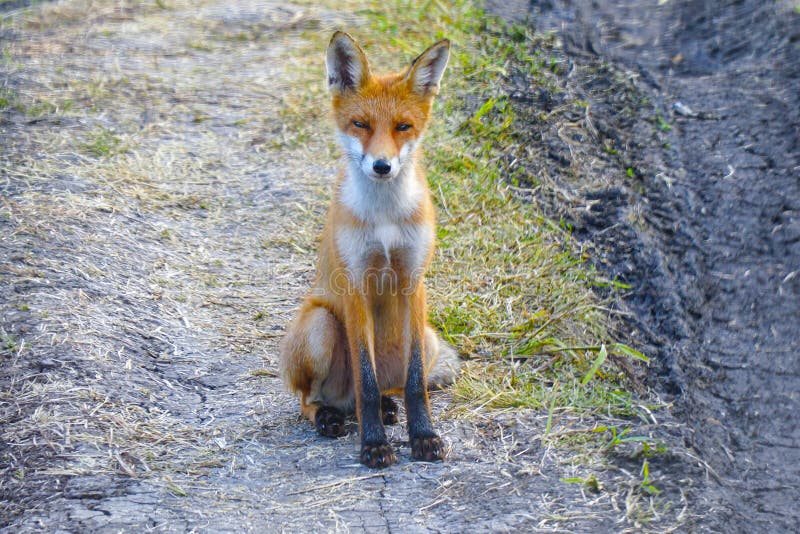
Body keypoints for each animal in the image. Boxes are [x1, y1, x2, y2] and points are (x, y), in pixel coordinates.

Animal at [279, 32, 460, 468]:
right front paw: (373, 445)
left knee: (388, 389)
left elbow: (415, 384)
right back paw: (329, 417)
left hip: (428, 338)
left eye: (402, 127)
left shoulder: (414, 280)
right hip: (320, 326)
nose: (381, 166)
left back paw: (388, 409)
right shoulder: (356, 283)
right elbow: (366, 378)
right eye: (360, 124)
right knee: (314, 399)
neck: (385, 220)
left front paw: (423, 436)